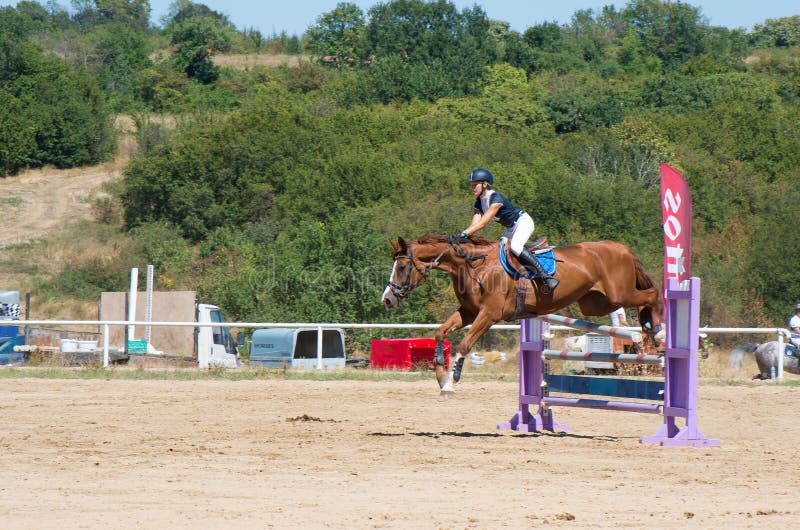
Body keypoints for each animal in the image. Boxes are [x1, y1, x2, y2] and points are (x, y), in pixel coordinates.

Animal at [381, 234, 663, 398]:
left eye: (402, 267)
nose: (387, 299)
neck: (473, 265)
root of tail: (622, 248)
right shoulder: (469, 313)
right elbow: (441, 331)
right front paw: (441, 377)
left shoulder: (488, 315)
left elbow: (465, 344)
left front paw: (452, 380)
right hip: (596, 304)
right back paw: (647, 329)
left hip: (619, 294)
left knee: (652, 293)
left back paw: (656, 331)